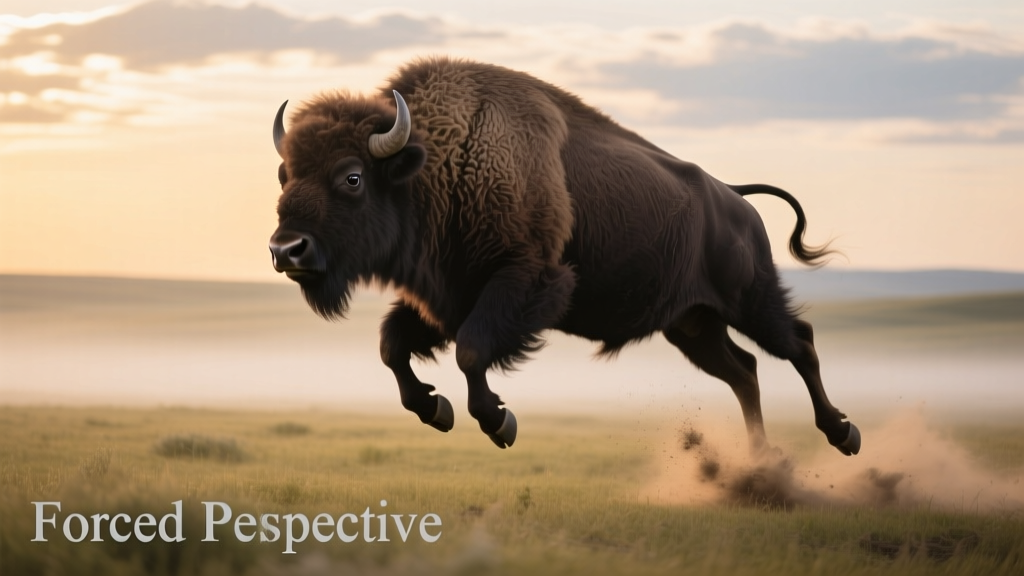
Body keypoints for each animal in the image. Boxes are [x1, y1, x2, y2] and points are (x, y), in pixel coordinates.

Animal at [269, 57, 860, 456]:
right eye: (285, 174)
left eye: (351, 177)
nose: (285, 249)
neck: (435, 165)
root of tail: (734, 200)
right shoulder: (443, 299)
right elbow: (394, 347)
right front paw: (437, 410)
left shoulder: (522, 281)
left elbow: (471, 351)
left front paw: (498, 422)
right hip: (693, 325)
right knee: (744, 371)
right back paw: (762, 458)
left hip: (749, 302)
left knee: (798, 345)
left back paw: (843, 434)